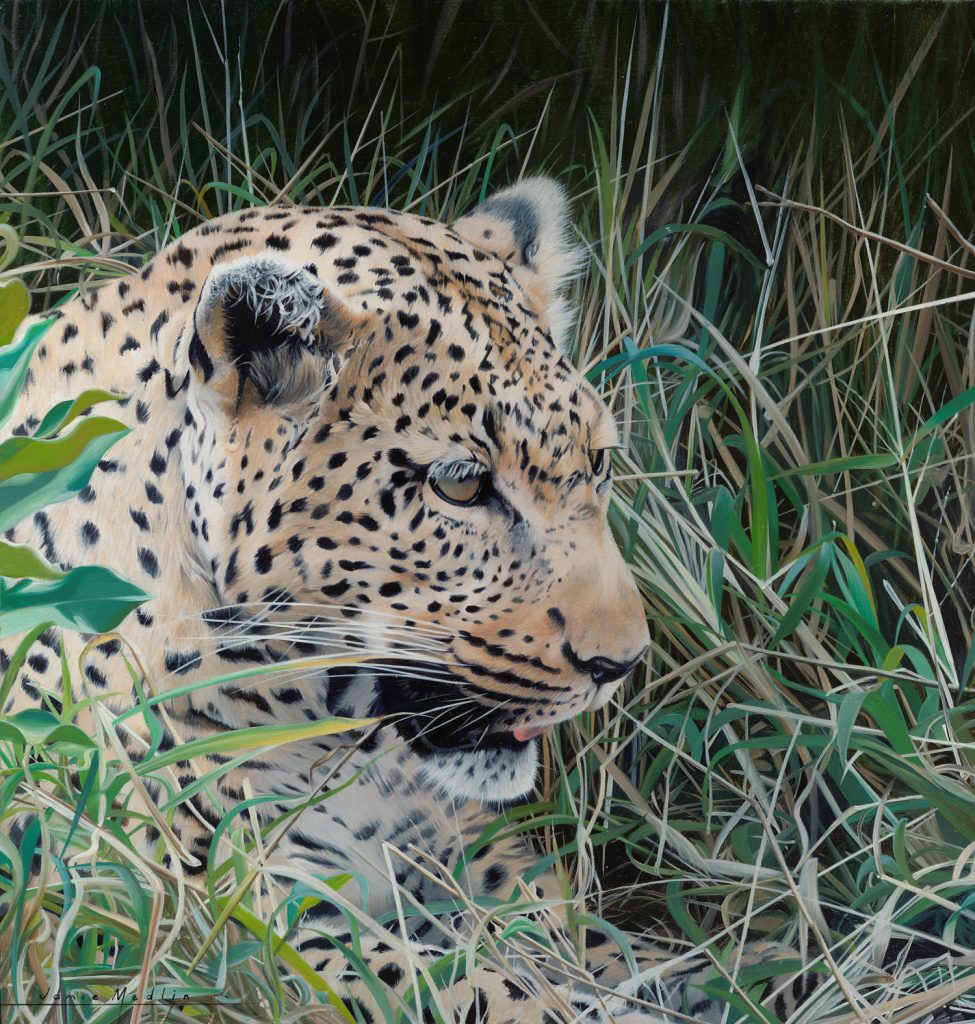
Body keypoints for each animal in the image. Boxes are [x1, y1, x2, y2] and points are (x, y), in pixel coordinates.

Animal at [1, 177, 823, 1023]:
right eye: (461, 485)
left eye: (596, 463)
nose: (619, 665)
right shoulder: (234, 922)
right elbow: (479, 989)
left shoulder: (473, 865)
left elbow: (584, 940)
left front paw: (753, 967)